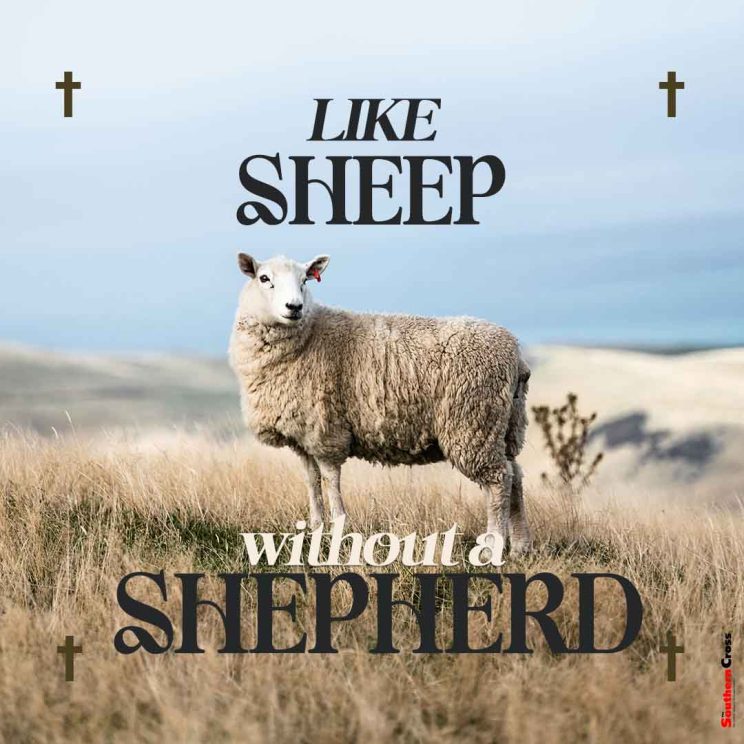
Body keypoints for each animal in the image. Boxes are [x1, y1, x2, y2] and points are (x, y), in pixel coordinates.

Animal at [229, 253, 532, 555]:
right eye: (264, 278)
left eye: (305, 280)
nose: (294, 307)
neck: (309, 335)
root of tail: (515, 354)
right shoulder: (303, 437)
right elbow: (312, 482)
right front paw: (315, 529)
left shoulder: (327, 432)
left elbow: (330, 481)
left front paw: (338, 530)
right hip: (505, 426)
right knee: (515, 475)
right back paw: (520, 546)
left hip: (473, 423)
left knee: (498, 481)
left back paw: (492, 546)